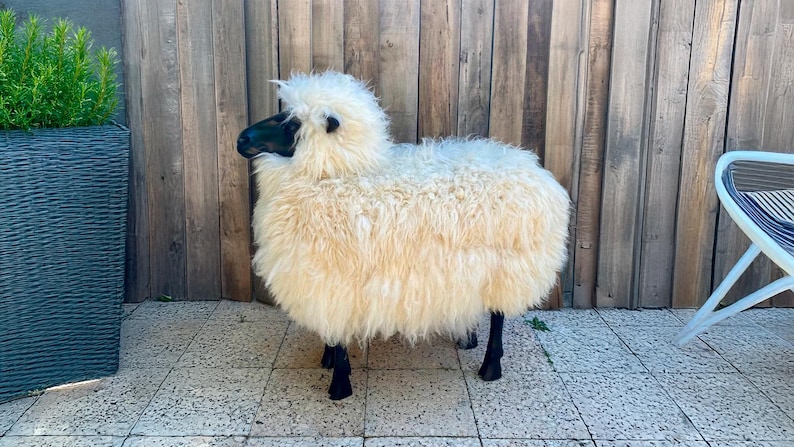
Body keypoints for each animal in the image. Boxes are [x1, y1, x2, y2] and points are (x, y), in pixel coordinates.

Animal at [237, 71, 570, 400]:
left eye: (293, 124)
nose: (241, 139)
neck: (340, 173)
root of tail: (533, 166)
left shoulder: (338, 283)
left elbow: (339, 335)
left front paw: (340, 384)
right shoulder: (321, 281)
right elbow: (332, 332)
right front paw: (328, 358)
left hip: (508, 270)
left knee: (499, 316)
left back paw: (490, 367)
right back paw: (468, 338)